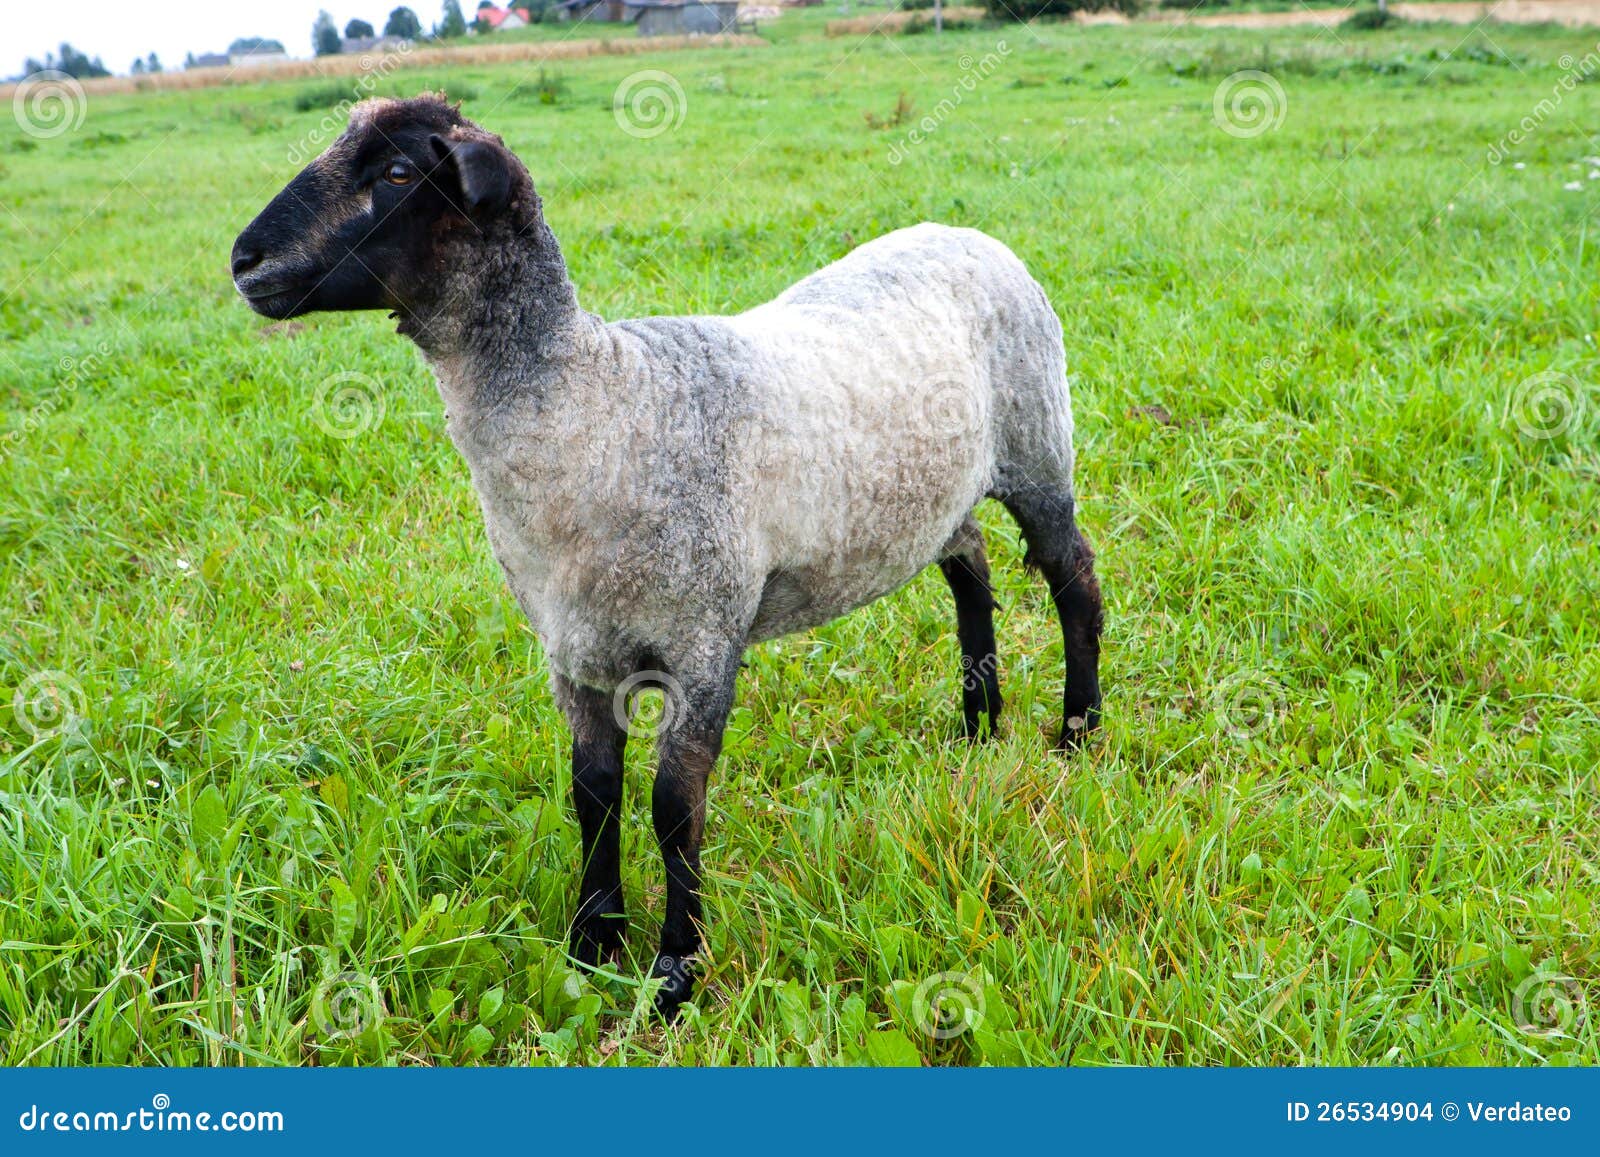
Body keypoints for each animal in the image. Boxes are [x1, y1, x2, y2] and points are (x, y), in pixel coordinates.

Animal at [231, 95, 1104, 1017]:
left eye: (398, 172)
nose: (244, 259)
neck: (603, 402)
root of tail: (966, 232)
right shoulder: (575, 652)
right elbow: (593, 794)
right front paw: (591, 943)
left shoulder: (702, 642)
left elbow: (673, 805)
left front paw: (675, 971)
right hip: (941, 493)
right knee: (970, 573)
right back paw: (978, 729)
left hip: (1038, 449)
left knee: (1074, 580)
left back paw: (1076, 732)